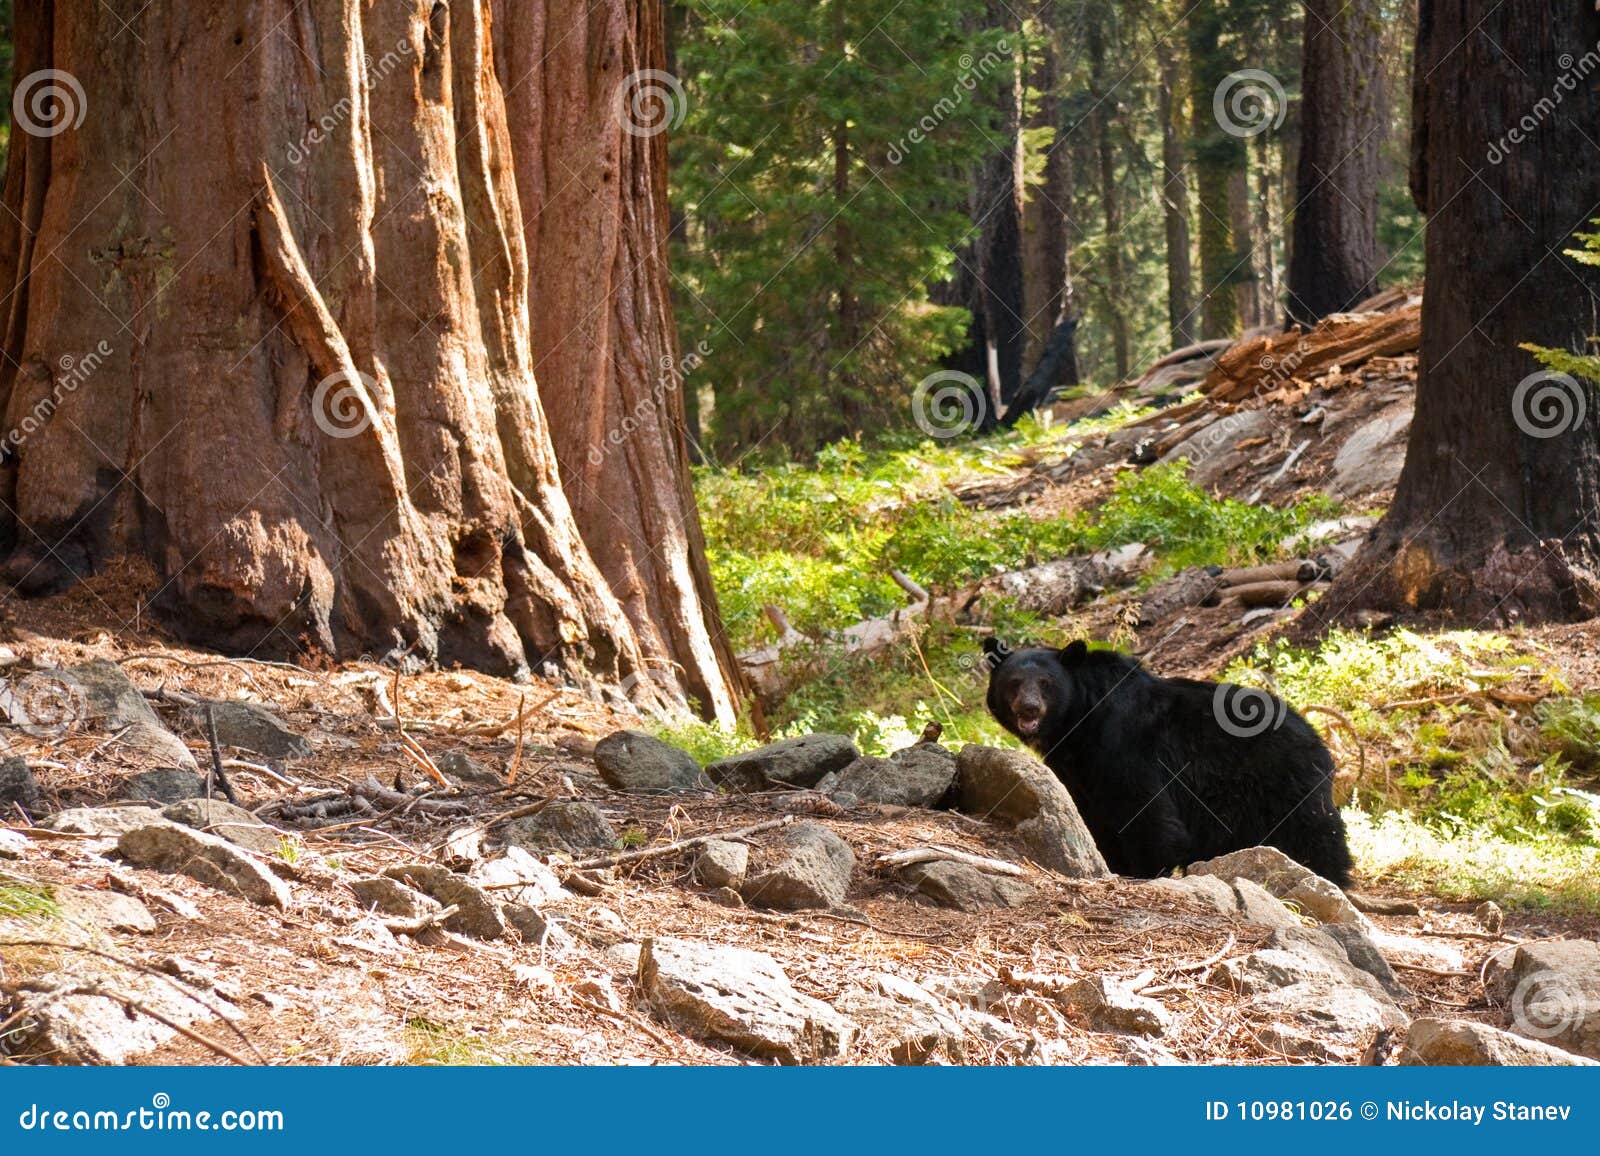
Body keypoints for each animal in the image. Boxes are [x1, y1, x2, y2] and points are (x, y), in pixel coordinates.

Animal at [983, 638, 1351, 886]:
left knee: (1316, 836)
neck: (1081, 720)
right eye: (1013, 682)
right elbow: (1094, 816)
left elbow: (1147, 812)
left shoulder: (1127, 745)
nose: (1028, 708)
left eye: (1047, 683)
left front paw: (1144, 870)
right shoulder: (1080, 769)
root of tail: (1318, 739)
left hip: (1282, 784)